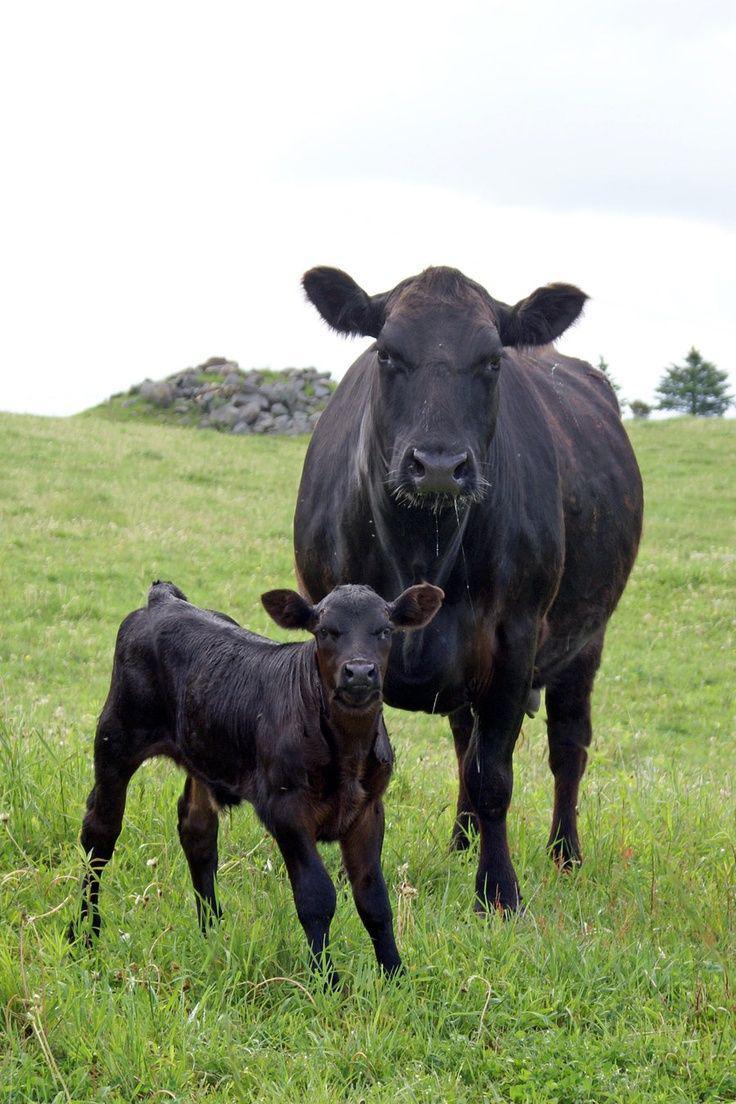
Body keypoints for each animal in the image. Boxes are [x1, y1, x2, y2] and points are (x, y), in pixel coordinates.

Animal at [68, 579, 444, 982]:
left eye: (385, 630)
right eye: (324, 631)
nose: (359, 671)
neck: (347, 752)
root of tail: (162, 600)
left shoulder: (369, 809)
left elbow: (373, 898)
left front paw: (395, 975)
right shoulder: (286, 809)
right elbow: (316, 896)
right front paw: (326, 980)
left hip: (201, 752)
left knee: (197, 831)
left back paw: (211, 932)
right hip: (116, 738)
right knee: (99, 836)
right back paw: (84, 935)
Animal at [294, 264, 643, 914]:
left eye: (492, 360)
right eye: (386, 353)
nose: (437, 465)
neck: (420, 546)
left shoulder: (513, 639)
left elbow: (495, 776)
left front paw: (498, 892)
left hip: (586, 640)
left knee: (567, 747)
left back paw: (564, 854)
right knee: (464, 739)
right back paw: (460, 841)